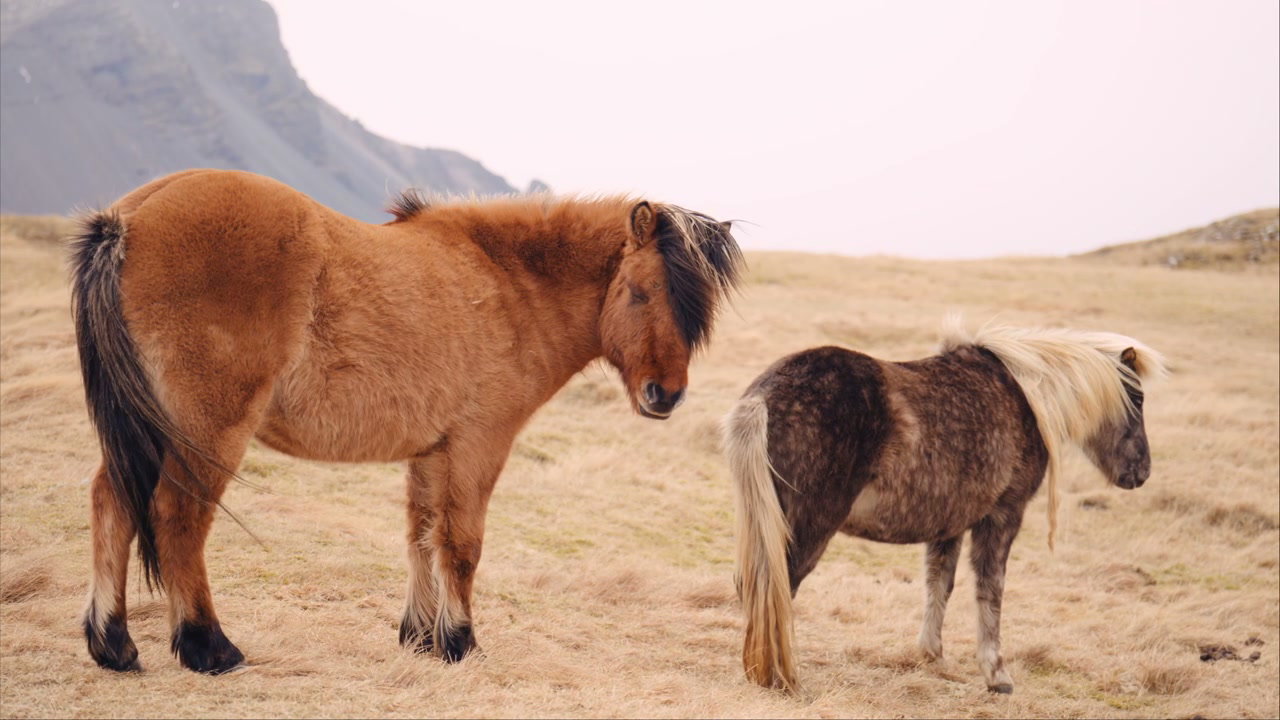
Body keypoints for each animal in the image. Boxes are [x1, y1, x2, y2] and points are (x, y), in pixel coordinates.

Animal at [71, 168, 743, 674]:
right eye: (642, 292)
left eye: (696, 309)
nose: (665, 395)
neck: (507, 283)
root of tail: (130, 218)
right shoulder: (477, 446)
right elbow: (462, 545)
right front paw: (461, 641)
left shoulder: (431, 452)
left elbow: (421, 534)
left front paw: (421, 635)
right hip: (207, 432)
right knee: (177, 517)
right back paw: (208, 647)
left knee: (112, 501)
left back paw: (114, 644)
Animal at [723, 319, 1165, 693]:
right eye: (1136, 399)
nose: (1141, 472)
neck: (1024, 395)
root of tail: (767, 393)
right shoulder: (1003, 516)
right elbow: (991, 589)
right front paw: (996, 674)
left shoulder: (948, 525)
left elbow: (940, 584)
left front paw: (931, 654)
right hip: (809, 527)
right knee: (780, 588)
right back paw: (780, 677)